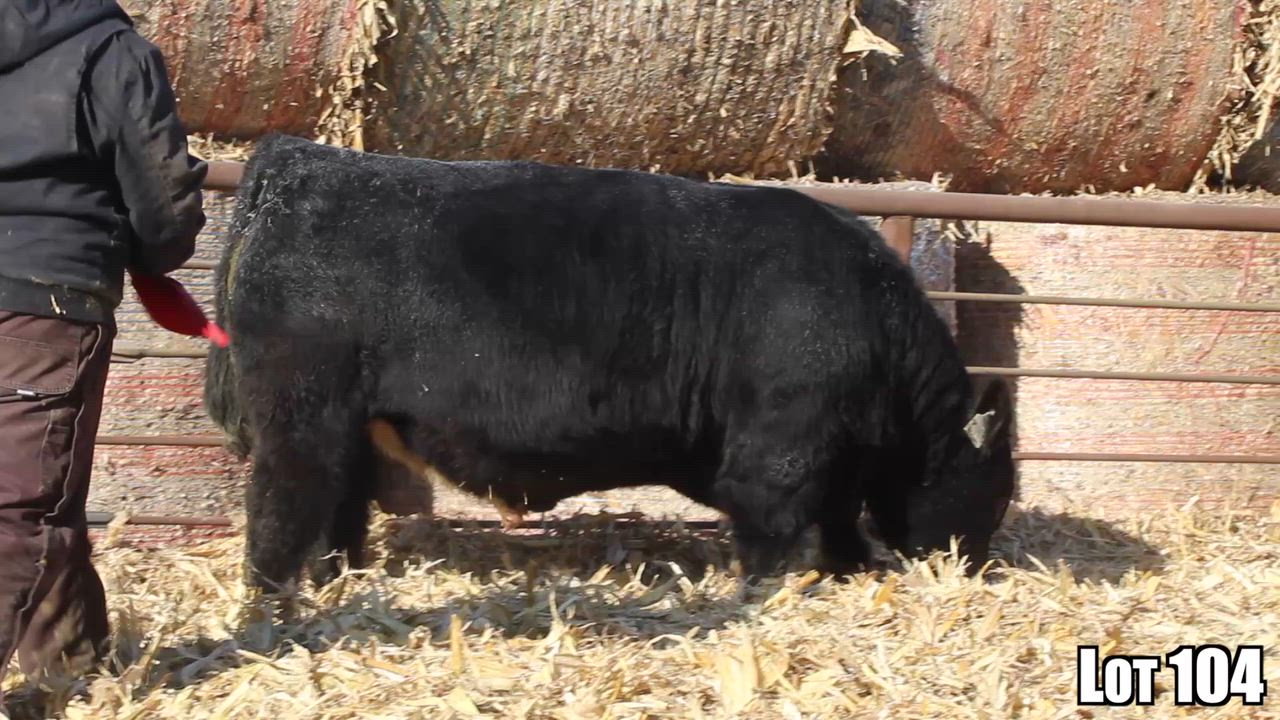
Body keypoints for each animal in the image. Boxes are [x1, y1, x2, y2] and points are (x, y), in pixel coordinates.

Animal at [204, 134, 1015, 596]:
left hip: (346, 420)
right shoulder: (781, 448)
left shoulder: (832, 457)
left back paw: (335, 581)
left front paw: (849, 571)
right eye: (991, 492)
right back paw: (272, 601)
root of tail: (303, 161)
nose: (979, 567)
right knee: (285, 501)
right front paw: (766, 596)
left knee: (339, 501)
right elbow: (772, 526)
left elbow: (839, 516)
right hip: (298, 416)